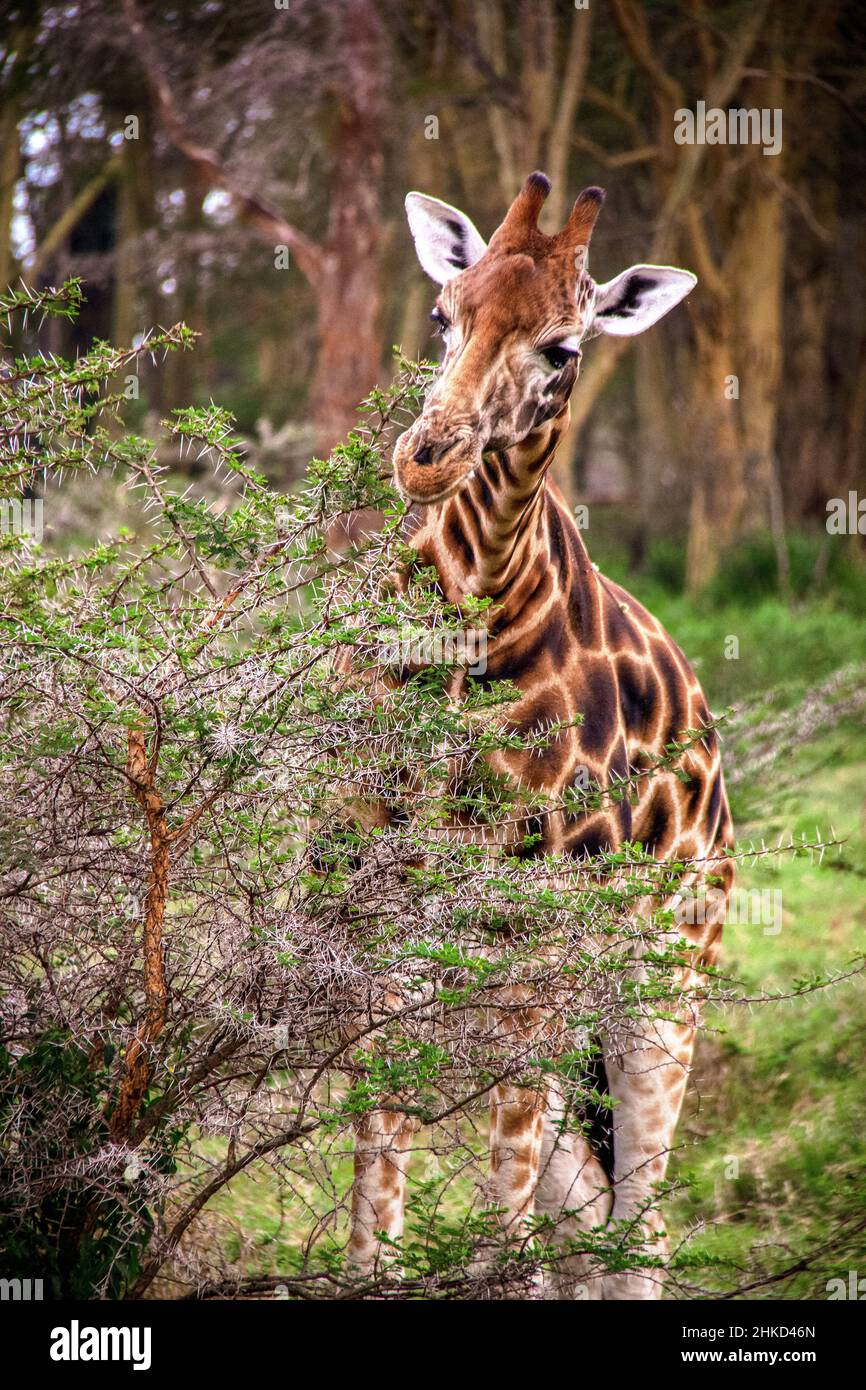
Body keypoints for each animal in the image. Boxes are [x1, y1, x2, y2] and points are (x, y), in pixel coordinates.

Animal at [343, 172, 734, 1299]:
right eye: (444, 315)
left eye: (562, 347)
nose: (424, 460)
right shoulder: (371, 923)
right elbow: (379, 1178)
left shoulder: (531, 956)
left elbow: (498, 1207)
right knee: (589, 1214)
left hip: (661, 982)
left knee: (639, 1229)